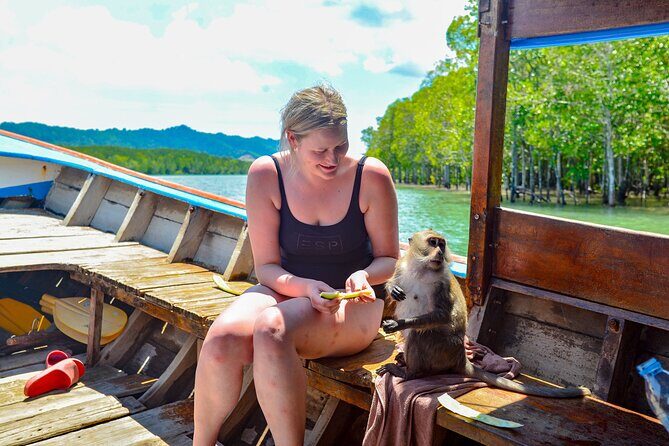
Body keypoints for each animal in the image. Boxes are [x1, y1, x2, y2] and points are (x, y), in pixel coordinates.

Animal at [377, 229, 590, 398]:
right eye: (433, 242)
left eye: (442, 244)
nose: (440, 252)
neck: (421, 268)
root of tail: (460, 356)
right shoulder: (402, 265)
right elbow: (393, 282)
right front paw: (393, 288)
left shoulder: (440, 282)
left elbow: (443, 315)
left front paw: (399, 324)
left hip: (443, 348)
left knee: (420, 335)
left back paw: (410, 373)